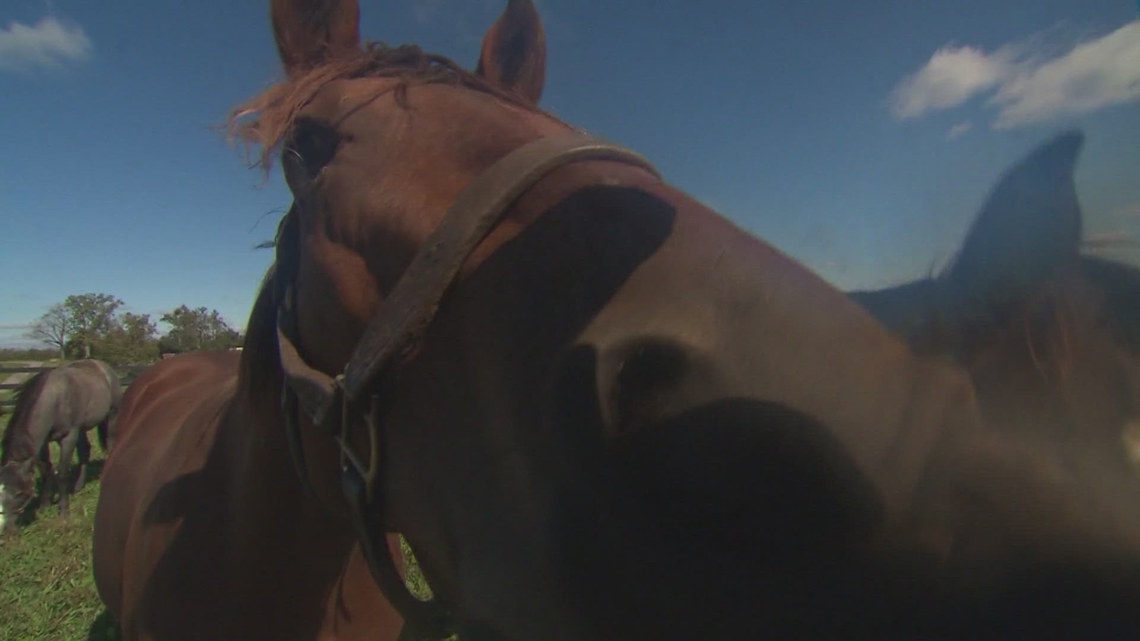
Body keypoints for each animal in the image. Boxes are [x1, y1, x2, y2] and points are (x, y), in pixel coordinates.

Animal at [0, 359, 121, 533]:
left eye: (19, 493)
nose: (8, 530)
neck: (54, 400)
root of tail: (103, 365)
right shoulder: (44, 442)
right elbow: (46, 471)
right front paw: (44, 506)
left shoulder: (68, 437)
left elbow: (62, 472)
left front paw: (64, 512)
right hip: (81, 429)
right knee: (85, 451)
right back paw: (78, 486)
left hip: (111, 415)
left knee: (110, 445)